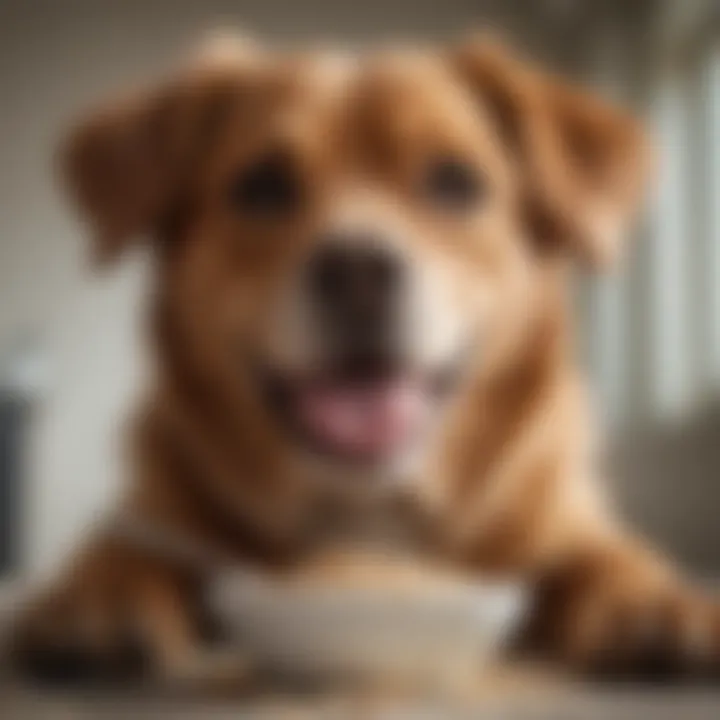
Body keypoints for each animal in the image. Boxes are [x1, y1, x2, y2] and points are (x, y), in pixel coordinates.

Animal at [11, 32, 720, 688]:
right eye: (261, 185)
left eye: (454, 181)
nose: (358, 272)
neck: (367, 506)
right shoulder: (152, 516)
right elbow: (121, 554)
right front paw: (100, 596)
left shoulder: (564, 521)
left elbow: (605, 557)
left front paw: (653, 599)